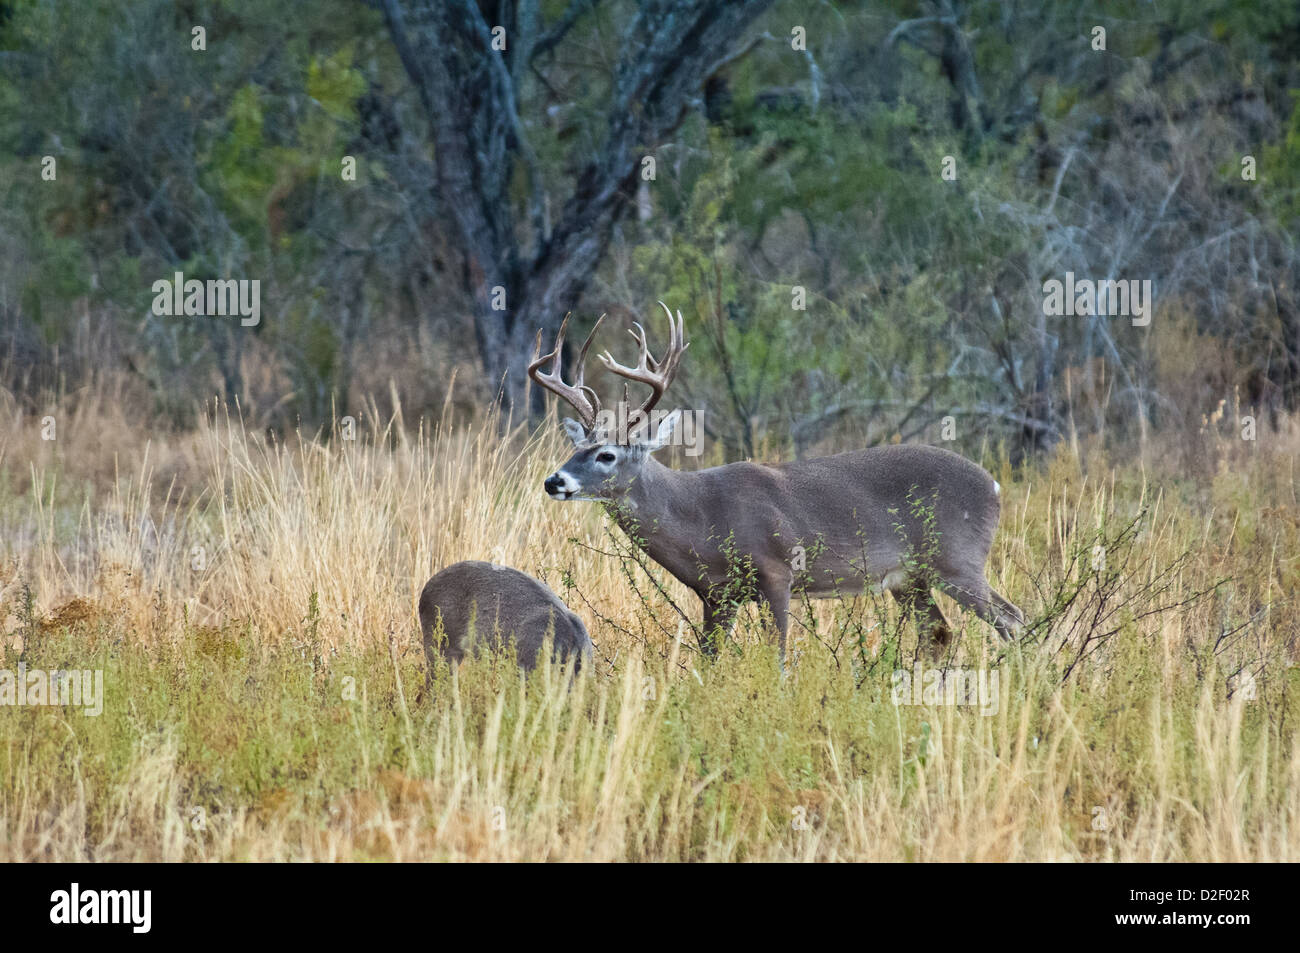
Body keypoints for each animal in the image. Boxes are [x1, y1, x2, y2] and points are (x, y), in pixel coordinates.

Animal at [528, 303, 1025, 662]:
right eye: (575, 447)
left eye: (606, 455)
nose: (554, 481)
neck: (701, 518)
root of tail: (995, 487)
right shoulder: (716, 595)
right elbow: (709, 659)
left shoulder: (777, 570)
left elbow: (779, 657)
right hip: (910, 578)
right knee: (939, 632)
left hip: (958, 558)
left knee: (1012, 617)